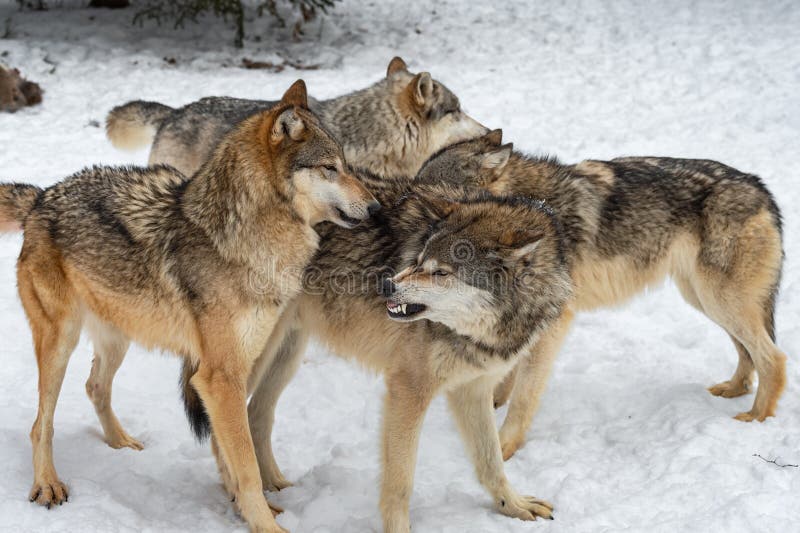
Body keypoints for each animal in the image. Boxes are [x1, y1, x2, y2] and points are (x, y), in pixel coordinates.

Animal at [0, 80, 378, 532]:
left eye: (347, 166)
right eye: (330, 168)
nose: (376, 208)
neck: (244, 238)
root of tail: (42, 196)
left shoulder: (235, 367)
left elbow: (230, 453)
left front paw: (244, 507)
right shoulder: (219, 376)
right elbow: (246, 465)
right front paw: (264, 522)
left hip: (119, 337)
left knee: (95, 386)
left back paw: (120, 442)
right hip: (60, 343)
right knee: (41, 423)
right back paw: (47, 485)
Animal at [414, 131, 787, 459]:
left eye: (430, 185)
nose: (406, 198)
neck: (529, 204)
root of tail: (761, 188)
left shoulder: (555, 319)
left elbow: (524, 393)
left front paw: (505, 445)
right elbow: (512, 370)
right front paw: (492, 401)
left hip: (719, 300)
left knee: (773, 357)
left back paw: (756, 419)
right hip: (704, 299)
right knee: (748, 352)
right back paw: (735, 390)